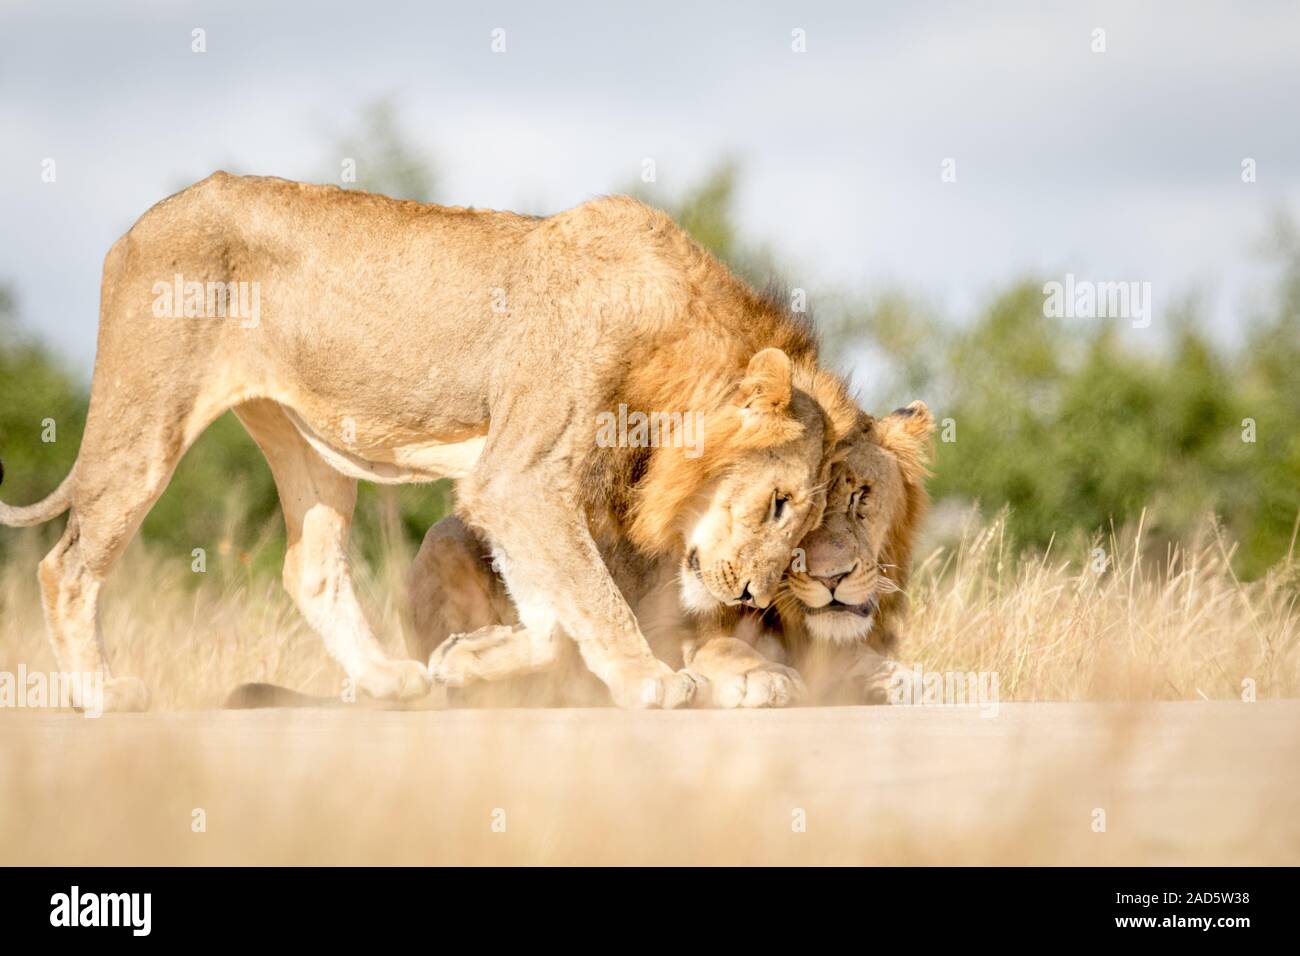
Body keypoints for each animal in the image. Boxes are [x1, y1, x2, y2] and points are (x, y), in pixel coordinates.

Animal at [0, 173, 856, 711]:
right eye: (780, 504)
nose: (751, 599)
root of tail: (139, 226)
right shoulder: (521, 475)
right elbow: (591, 595)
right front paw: (648, 678)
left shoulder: (516, 491)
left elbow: (553, 617)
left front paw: (465, 658)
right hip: (145, 418)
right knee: (65, 565)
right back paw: (100, 694)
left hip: (305, 442)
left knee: (309, 566)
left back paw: (388, 680)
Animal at [402, 401, 933, 707]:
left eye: (860, 496)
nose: (830, 577)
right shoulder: (662, 624)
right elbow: (719, 646)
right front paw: (760, 675)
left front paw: (890, 676)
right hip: (446, 536)